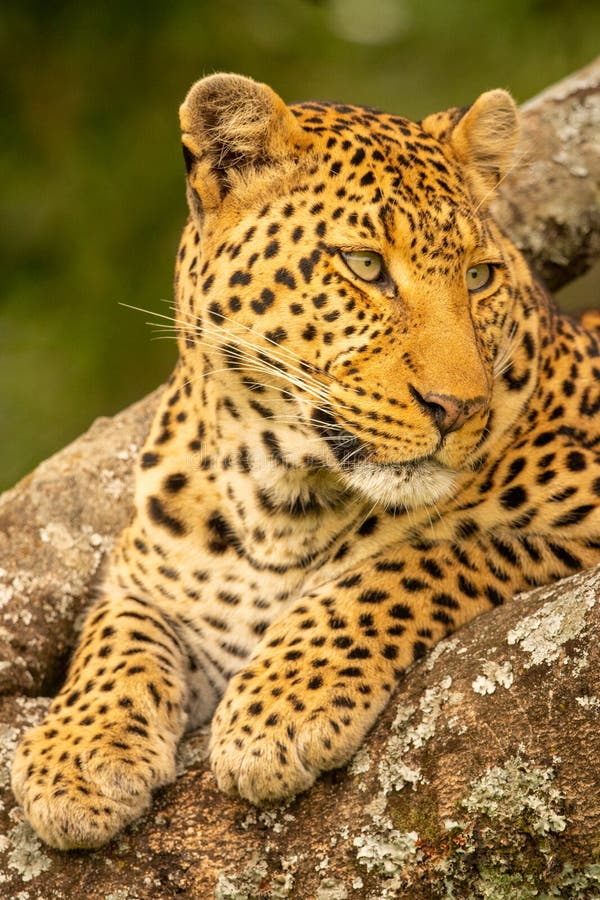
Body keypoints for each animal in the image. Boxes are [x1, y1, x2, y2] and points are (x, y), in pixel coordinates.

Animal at [11, 73, 600, 850]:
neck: (280, 497)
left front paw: (280, 707)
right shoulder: (145, 576)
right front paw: (76, 754)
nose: (459, 408)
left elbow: (417, 560)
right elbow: (116, 635)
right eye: (365, 265)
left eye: (478, 277)